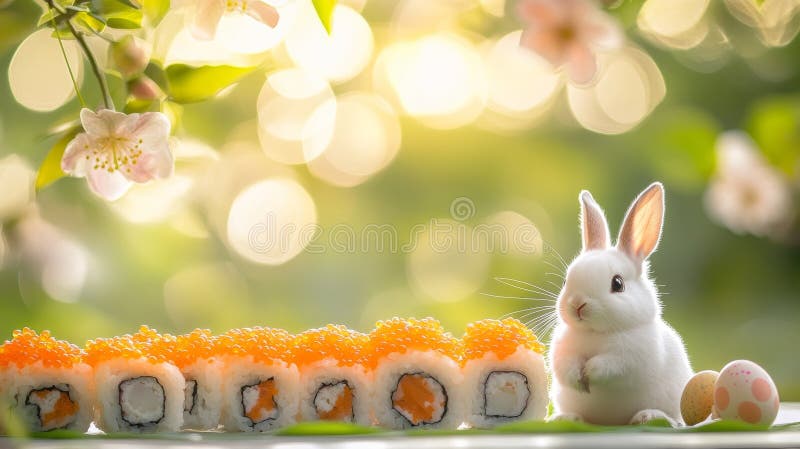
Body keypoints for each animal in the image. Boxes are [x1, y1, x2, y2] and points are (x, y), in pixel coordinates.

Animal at [548, 182, 692, 426]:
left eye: (618, 284)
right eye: (566, 281)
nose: (577, 304)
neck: (595, 333)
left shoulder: (628, 360)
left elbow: (608, 366)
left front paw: (588, 372)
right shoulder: (562, 352)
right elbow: (565, 367)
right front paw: (578, 378)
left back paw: (648, 416)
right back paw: (566, 418)